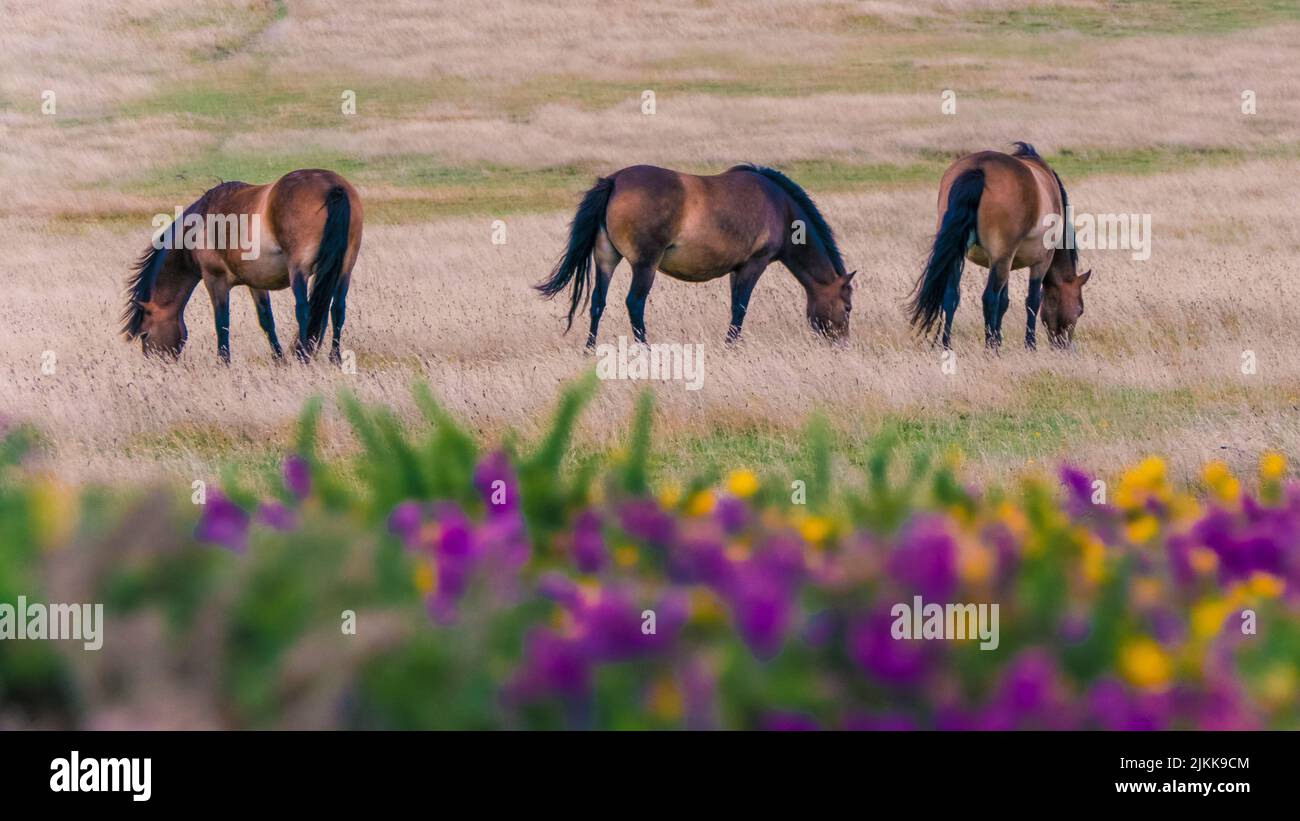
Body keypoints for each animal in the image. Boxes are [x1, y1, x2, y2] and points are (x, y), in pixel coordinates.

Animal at [121, 169, 363, 364]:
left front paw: (223, 362)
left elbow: (222, 322)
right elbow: (266, 320)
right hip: (345, 269)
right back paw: (334, 358)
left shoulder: (214, 280)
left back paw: (303, 357)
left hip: (299, 271)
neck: (200, 227)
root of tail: (333, 187)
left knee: (303, 309)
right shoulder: (256, 282)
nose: (155, 366)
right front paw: (279, 359)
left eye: (145, 334)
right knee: (338, 309)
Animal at [535, 164, 855, 348]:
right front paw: (731, 347)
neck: (780, 207)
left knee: (597, 303)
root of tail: (615, 181)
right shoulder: (754, 264)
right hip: (645, 265)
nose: (841, 344)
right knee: (634, 304)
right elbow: (740, 308)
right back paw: (645, 349)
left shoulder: (737, 268)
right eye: (848, 307)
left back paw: (589, 350)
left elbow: (735, 306)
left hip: (606, 260)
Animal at [907, 142, 1090, 350]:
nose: (1065, 347)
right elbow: (1032, 301)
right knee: (989, 298)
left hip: (964, 256)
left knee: (951, 296)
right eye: (1080, 309)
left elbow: (1004, 302)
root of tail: (979, 168)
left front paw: (999, 340)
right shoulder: (1040, 262)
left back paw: (947, 345)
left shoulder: (1007, 262)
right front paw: (1029, 345)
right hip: (1001, 259)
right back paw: (989, 349)